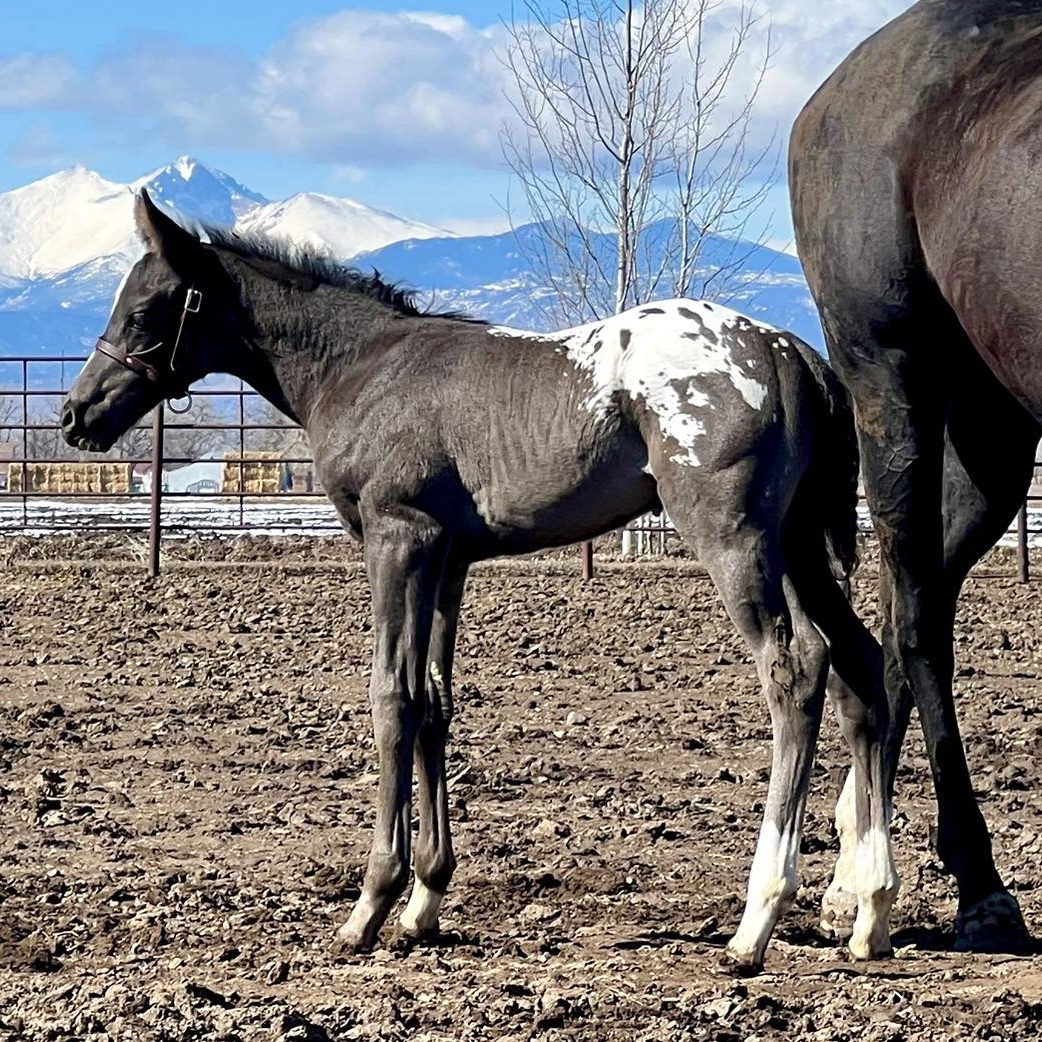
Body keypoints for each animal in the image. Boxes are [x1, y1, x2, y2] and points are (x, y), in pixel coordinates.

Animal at [61, 189, 895, 971]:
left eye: (143, 311)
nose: (76, 415)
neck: (363, 368)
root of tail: (794, 355)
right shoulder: (449, 560)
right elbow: (435, 700)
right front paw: (425, 898)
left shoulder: (399, 539)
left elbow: (393, 699)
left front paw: (371, 903)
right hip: (799, 546)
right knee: (860, 666)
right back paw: (870, 910)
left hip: (734, 537)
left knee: (795, 669)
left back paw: (758, 920)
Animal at [790, 0, 1042, 953]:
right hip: (889, 377)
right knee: (918, 619)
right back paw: (975, 887)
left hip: (993, 430)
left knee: (908, 605)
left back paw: (853, 869)